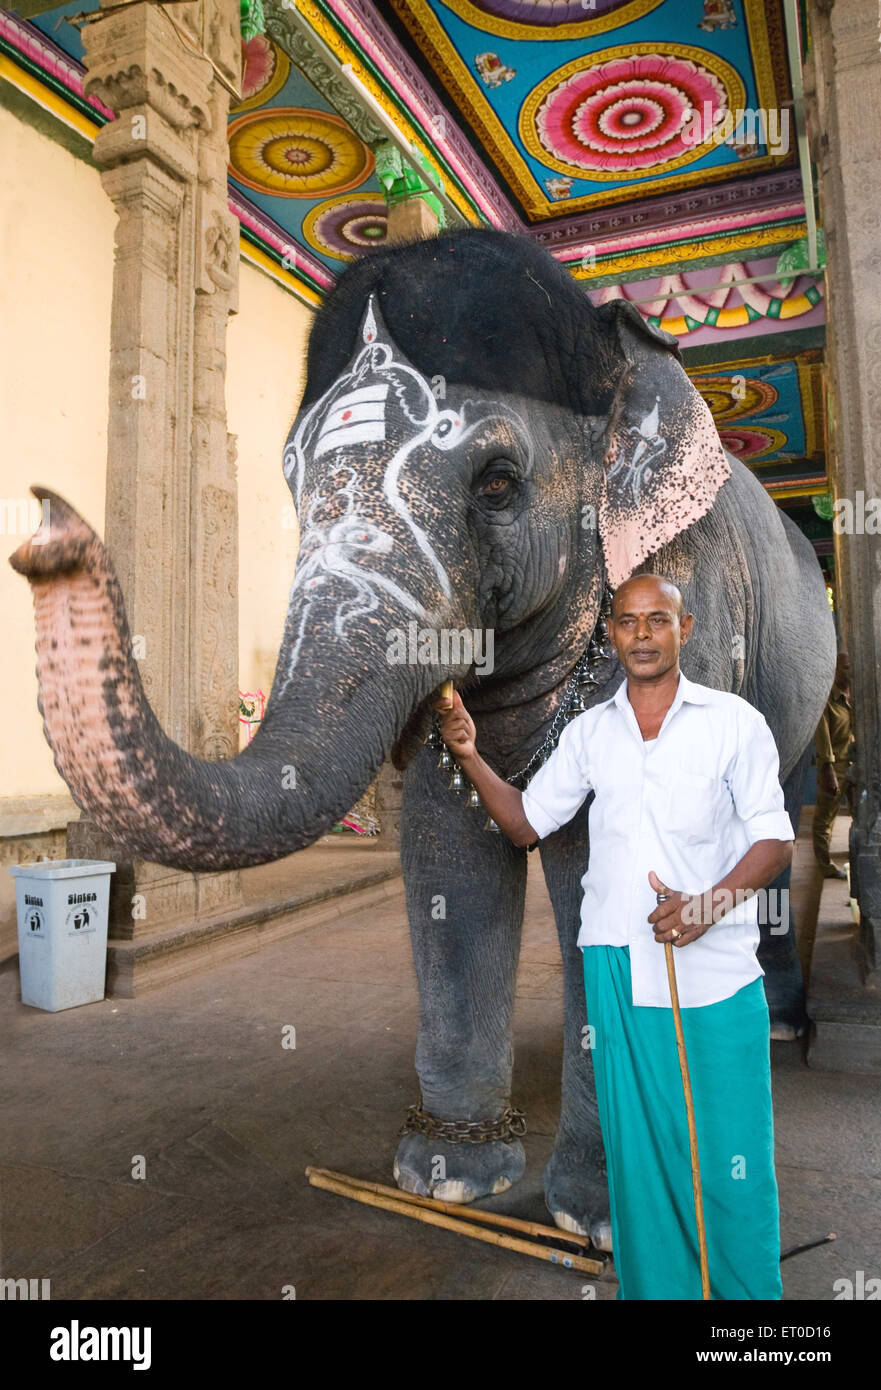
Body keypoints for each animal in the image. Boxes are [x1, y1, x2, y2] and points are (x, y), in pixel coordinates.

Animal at [10, 228, 836, 1246]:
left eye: (497, 483)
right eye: (290, 486)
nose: (47, 531)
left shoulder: (694, 600)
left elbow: (594, 873)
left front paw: (597, 1223)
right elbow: (446, 851)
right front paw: (446, 1179)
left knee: (780, 824)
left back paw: (769, 1033)